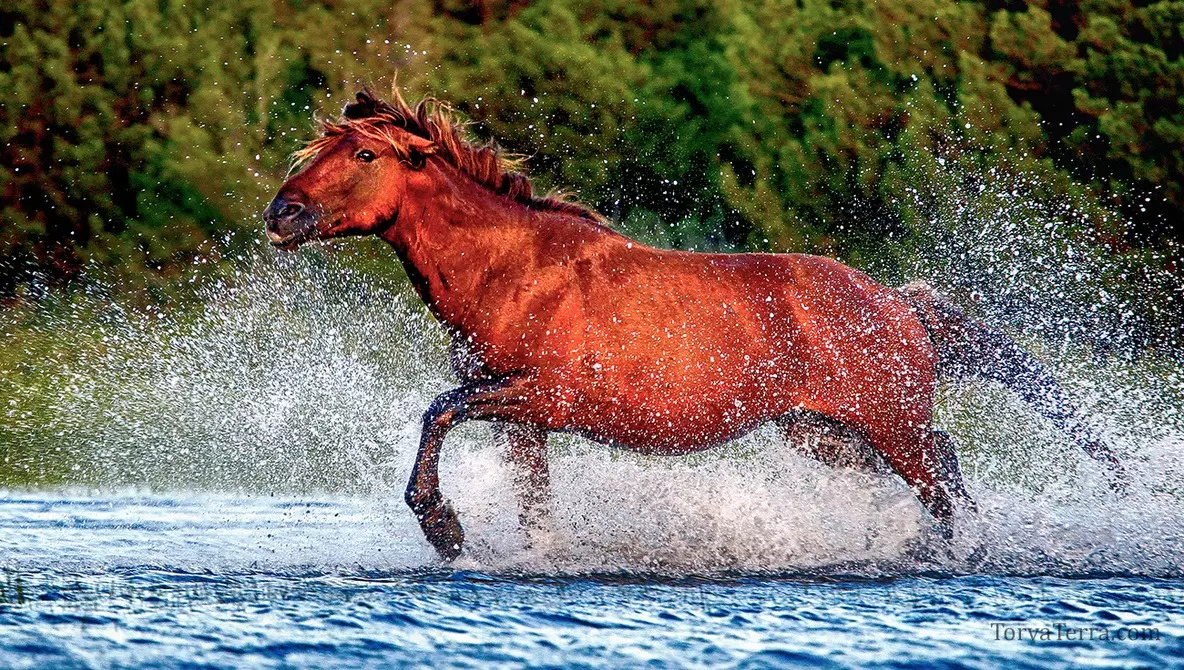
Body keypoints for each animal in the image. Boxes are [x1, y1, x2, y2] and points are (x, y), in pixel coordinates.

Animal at [266, 89, 1127, 561]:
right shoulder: (522, 419)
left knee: (942, 473)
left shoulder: (538, 394)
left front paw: (443, 527)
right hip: (821, 432)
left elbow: (437, 411)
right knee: (938, 467)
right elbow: (530, 500)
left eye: (366, 154)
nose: (281, 213)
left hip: (889, 423)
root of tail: (896, 301)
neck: (515, 272)